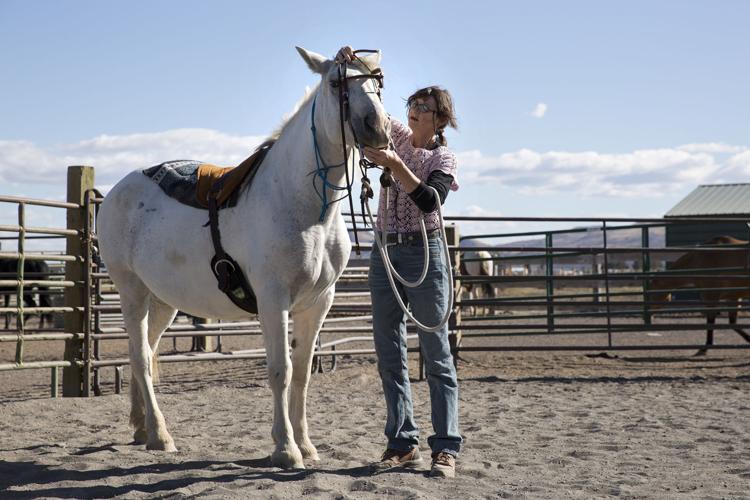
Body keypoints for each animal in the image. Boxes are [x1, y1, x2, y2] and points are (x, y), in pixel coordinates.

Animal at [96, 47, 389, 468]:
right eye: (337, 84)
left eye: (379, 83)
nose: (377, 128)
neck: (301, 205)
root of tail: (117, 191)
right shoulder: (272, 299)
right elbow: (281, 370)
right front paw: (285, 449)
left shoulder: (318, 303)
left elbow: (303, 374)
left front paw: (307, 445)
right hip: (131, 290)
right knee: (139, 358)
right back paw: (160, 435)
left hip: (162, 299)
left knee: (147, 353)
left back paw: (140, 426)